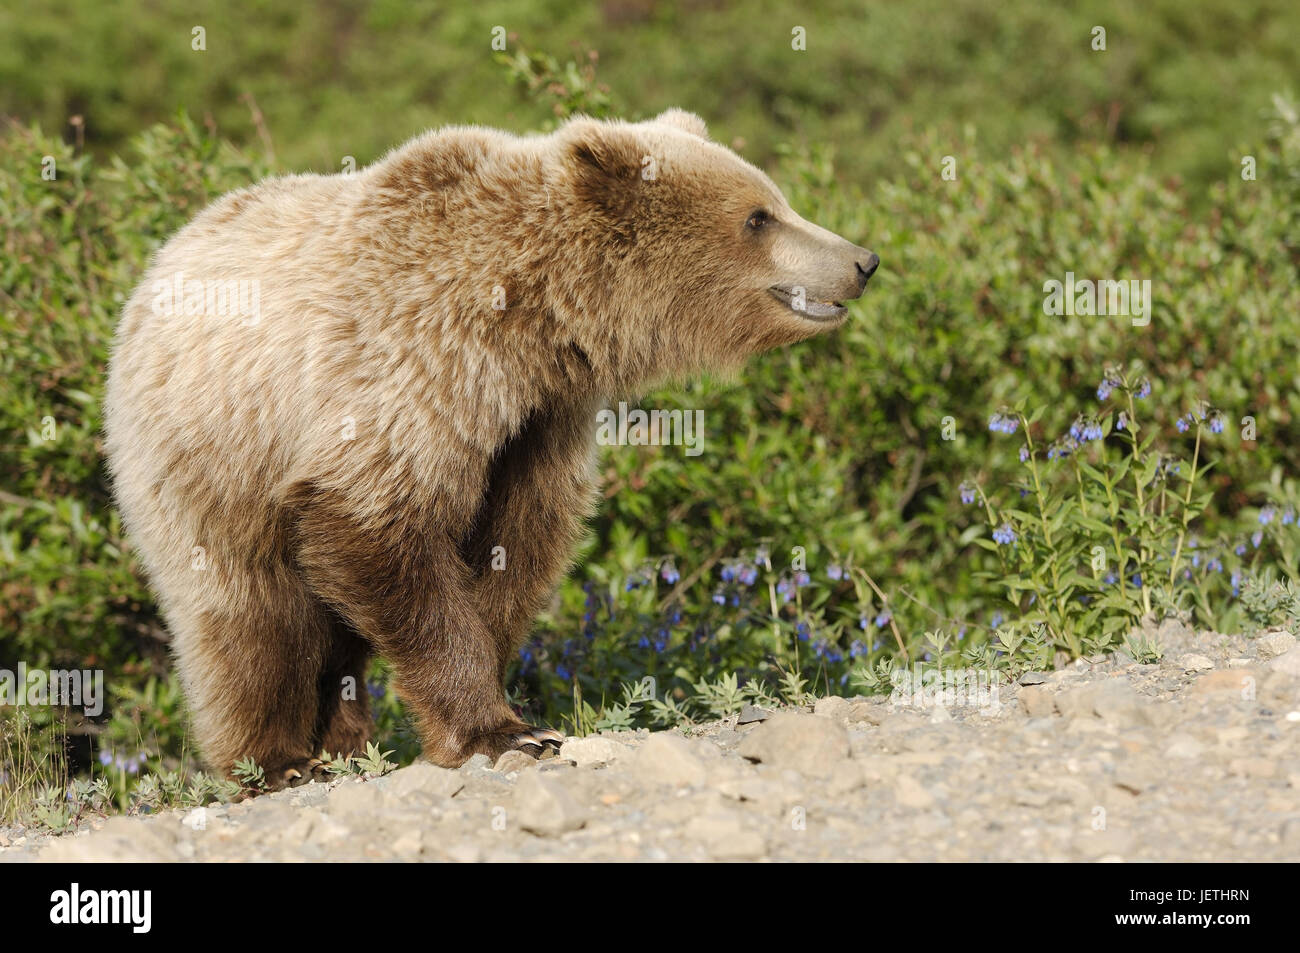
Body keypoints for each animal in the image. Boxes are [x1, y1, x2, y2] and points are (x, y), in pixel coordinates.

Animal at [103, 108, 878, 786]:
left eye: (775, 200)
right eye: (758, 216)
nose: (863, 259)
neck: (530, 320)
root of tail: (154, 267)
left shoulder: (536, 423)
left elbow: (516, 548)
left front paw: (502, 708)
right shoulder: (409, 368)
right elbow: (381, 530)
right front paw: (499, 732)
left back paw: (346, 741)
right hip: (211, 455)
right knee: (249, 615)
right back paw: (276, 760)